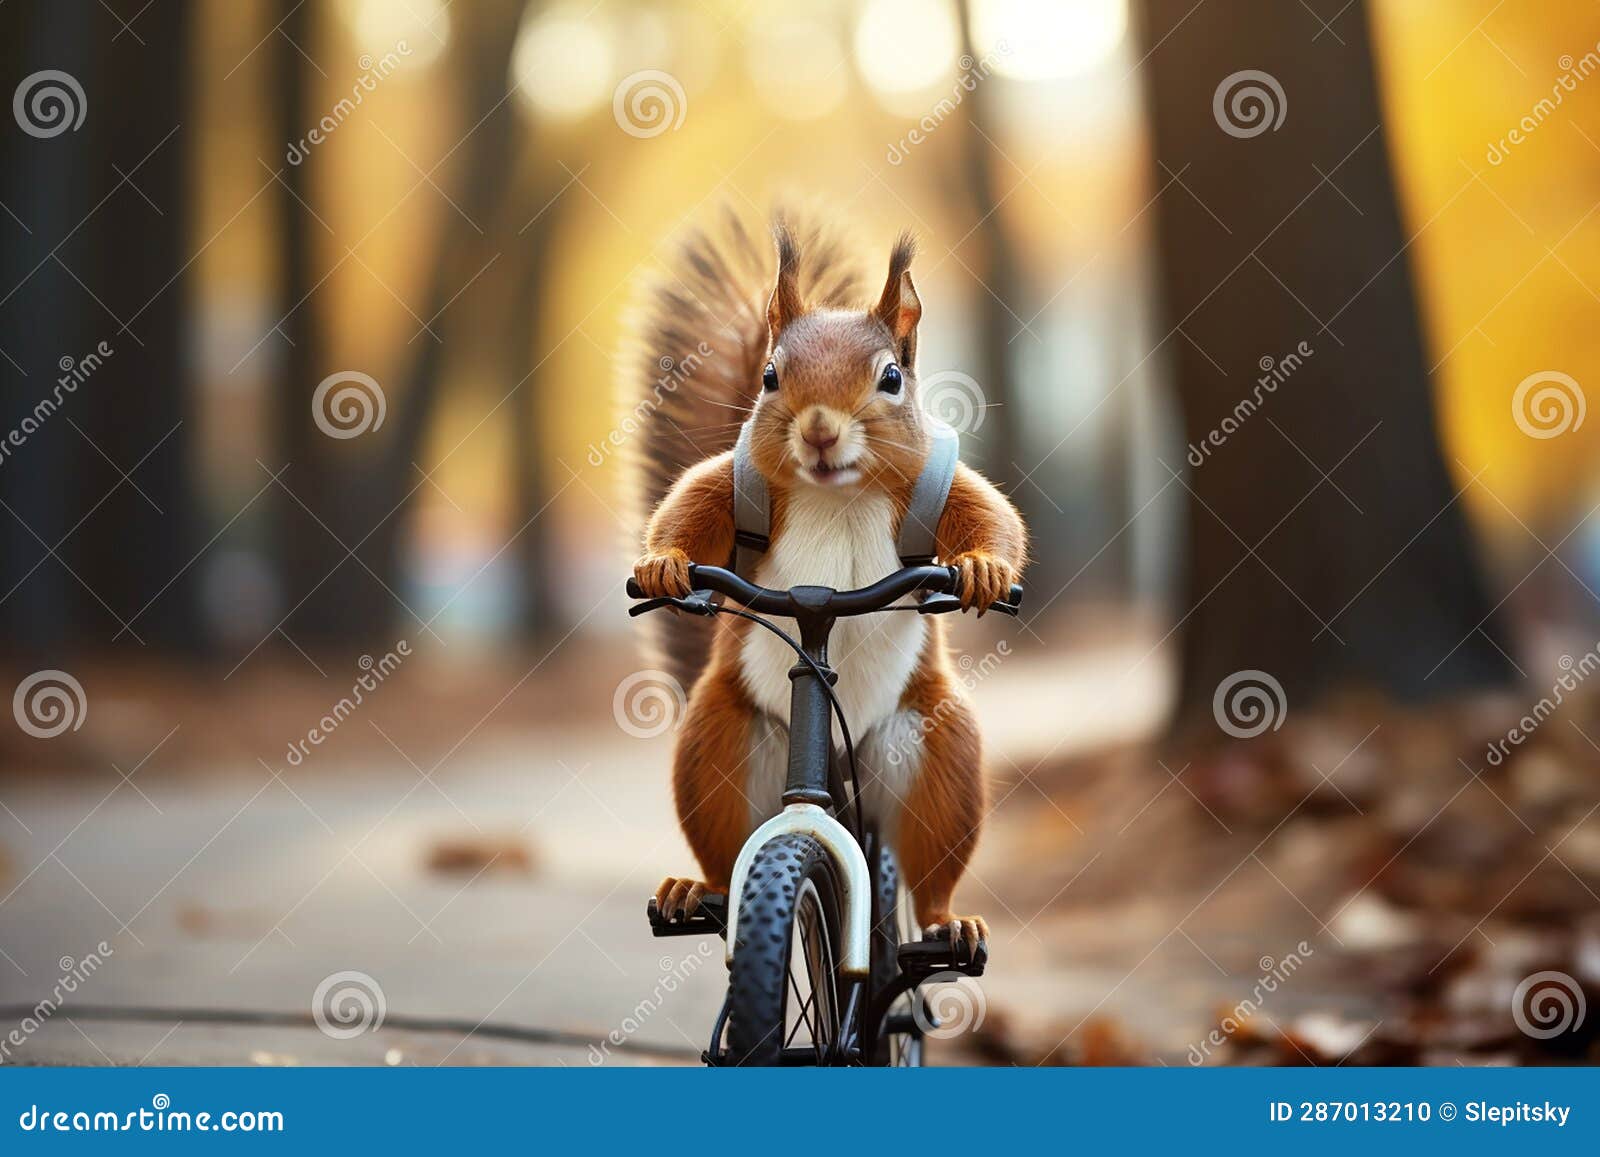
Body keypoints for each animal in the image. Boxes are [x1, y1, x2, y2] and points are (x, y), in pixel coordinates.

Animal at [625, 209, 1027, 951]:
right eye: (770, 376)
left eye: (892, 377)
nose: (818, 431)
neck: (836, 494)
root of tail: (836, 776)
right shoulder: (738, 478)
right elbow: (691, 502)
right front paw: (662, 564)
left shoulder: (935, 480)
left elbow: (992, 516)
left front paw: (985, 568)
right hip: (721, 740)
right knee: (728, 849)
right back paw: (697, 888)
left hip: (935, 751)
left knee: (932, 866)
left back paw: (947, 923)